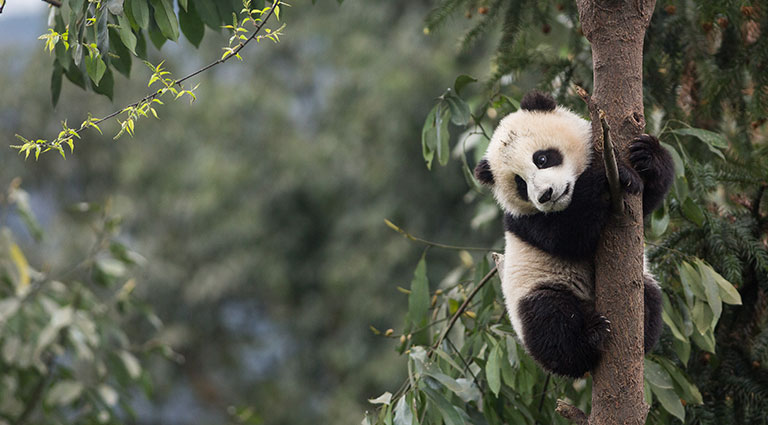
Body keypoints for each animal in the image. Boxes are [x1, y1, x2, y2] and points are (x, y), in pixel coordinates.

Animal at [474, 91, 674, 378]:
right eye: (520, 184)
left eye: (542, 158)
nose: (545, 195)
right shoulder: (526, 221)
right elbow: (568, 235)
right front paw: (606, 179)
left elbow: (647, 201)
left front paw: (646, 154)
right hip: (537, 289)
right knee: (550, 322)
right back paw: (590, 337)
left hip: (644, 280)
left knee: (652, 296)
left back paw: (642, 332)